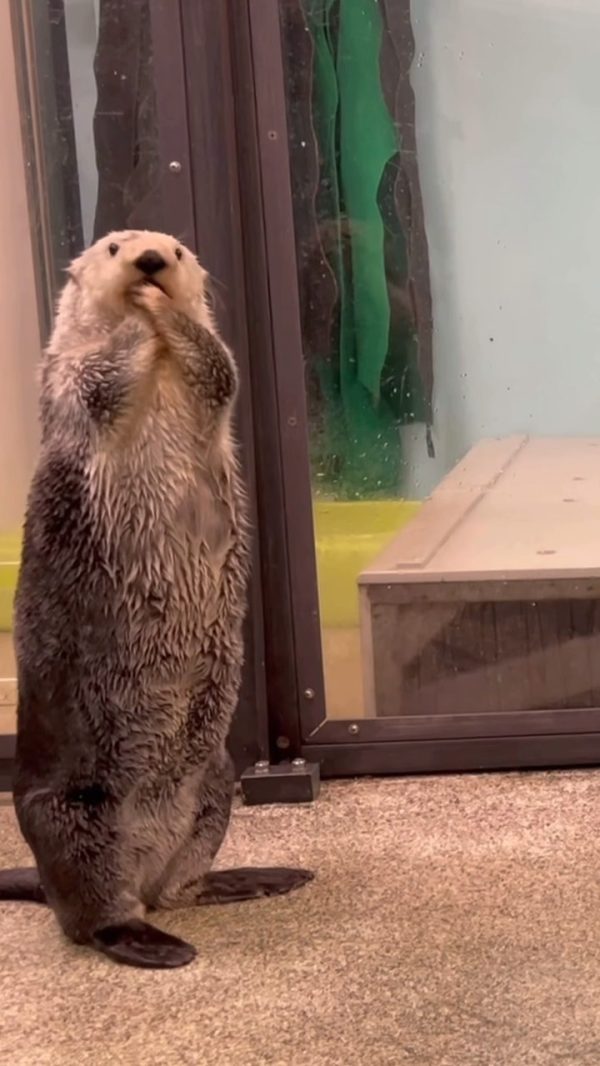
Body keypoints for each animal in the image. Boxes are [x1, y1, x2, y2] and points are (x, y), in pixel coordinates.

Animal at [0, 230, 312, 969]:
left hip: (215, 785)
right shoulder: (68, 376)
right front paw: (141, 313)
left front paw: (163, 309)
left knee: (179, 888)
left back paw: (246, 881)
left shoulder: (212, 376)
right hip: (71, 813)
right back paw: (155, 946)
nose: (149, 260)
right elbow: (100, 377)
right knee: (93, 919)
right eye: (115, 244)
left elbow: (218, 365)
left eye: (177, 247)